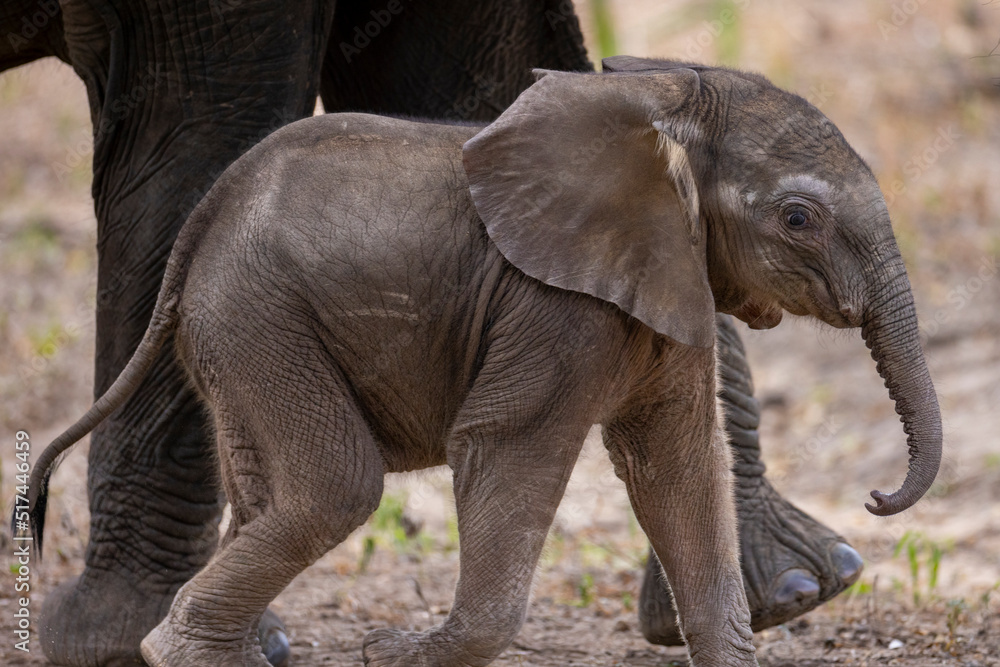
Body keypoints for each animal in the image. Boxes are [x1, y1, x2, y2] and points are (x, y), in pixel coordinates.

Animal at [3, 1, 868, 663]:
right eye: (798, 220)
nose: (880, 496)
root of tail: (208, 232)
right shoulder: (554, 317)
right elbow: (503, 441)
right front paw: (400, 654)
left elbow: (678, 462)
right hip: (257, 316)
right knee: (338, 483)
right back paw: (161, 647)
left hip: (246, 330)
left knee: (269, 491)